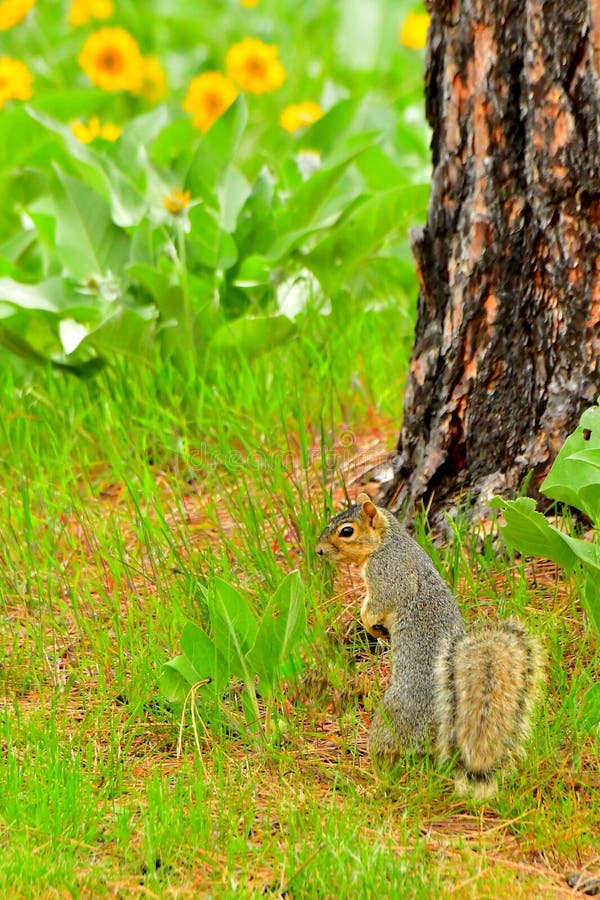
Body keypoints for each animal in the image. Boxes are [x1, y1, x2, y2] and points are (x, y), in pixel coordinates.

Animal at [316, 493, 544, 798]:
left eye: (347, 531)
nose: (318, 550)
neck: (388, 542)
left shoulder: (388, 576)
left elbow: (375, 607)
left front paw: (369, 625)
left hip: (389, 721)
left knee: (386, 759)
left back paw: (373, 783)